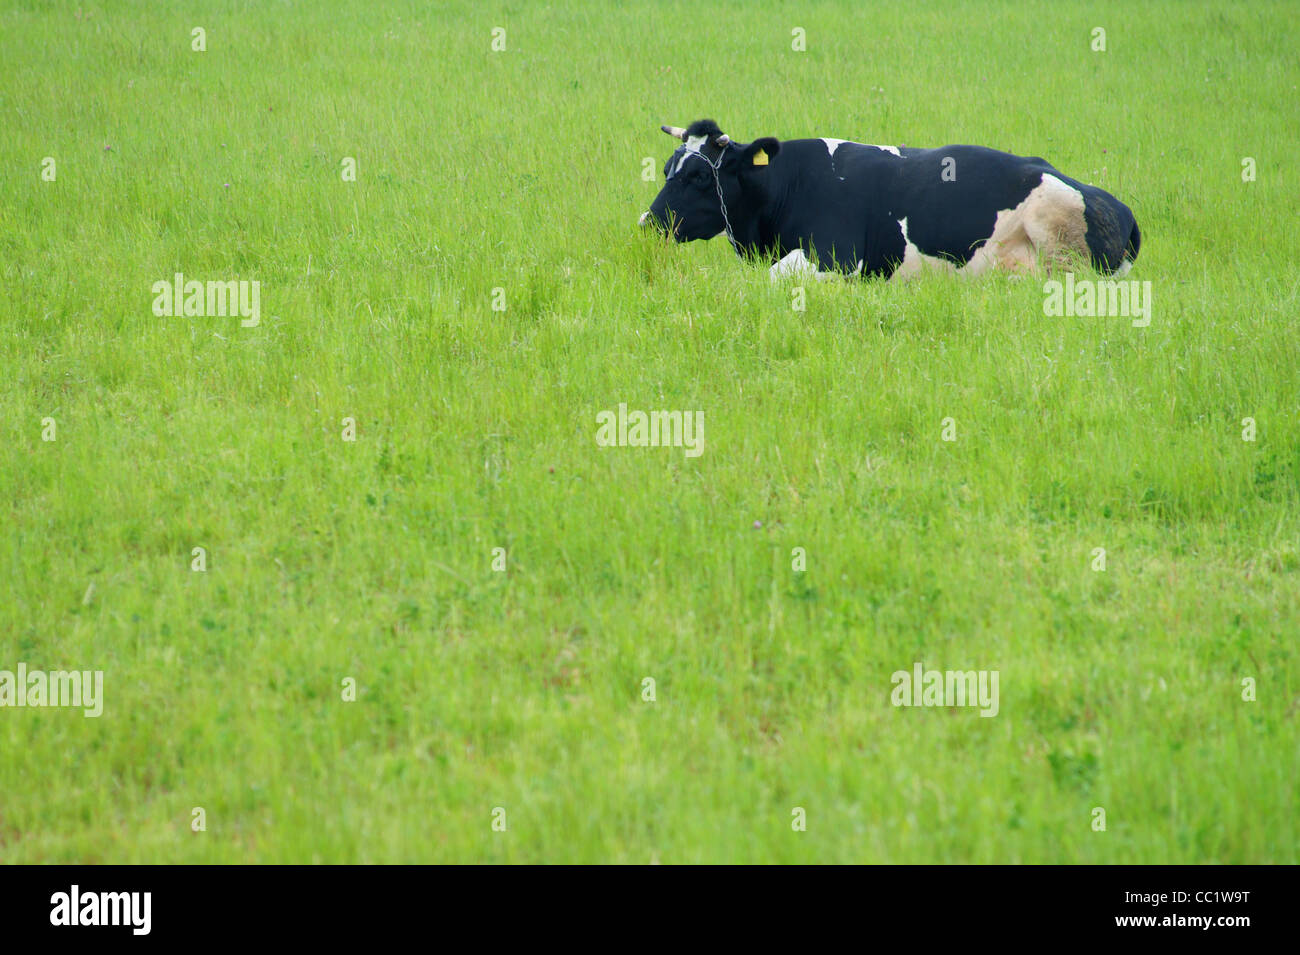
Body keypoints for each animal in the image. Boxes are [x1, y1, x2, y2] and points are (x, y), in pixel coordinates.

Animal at [638, 119, 1140, 281]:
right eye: (666, 169)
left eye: (700, 176)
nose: (649, 221)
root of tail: (1122, 210)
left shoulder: (838, 259)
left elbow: (777, 277)